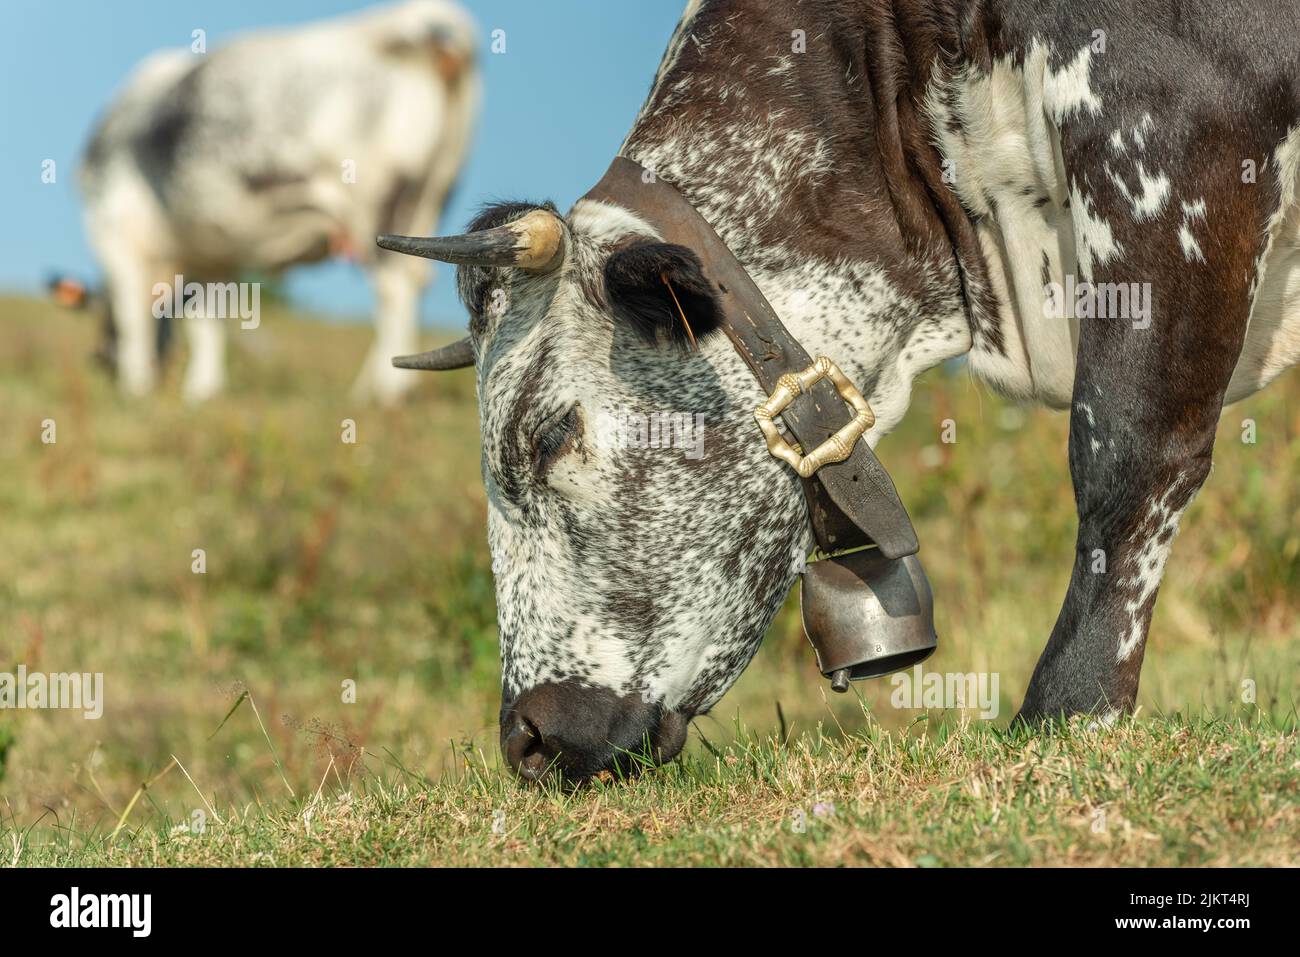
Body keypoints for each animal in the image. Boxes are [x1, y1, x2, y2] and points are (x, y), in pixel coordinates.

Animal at [78, 0, 478, 404]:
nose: (100, 360)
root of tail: (422, 19)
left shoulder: (117, 233)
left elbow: (132, 317)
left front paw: (135, 388)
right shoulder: (211, 256)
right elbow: (207, 320)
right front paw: (203, 389)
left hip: (380, 207)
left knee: (393, 288)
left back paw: (386, 390)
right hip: (429, 200)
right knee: (414, 278)